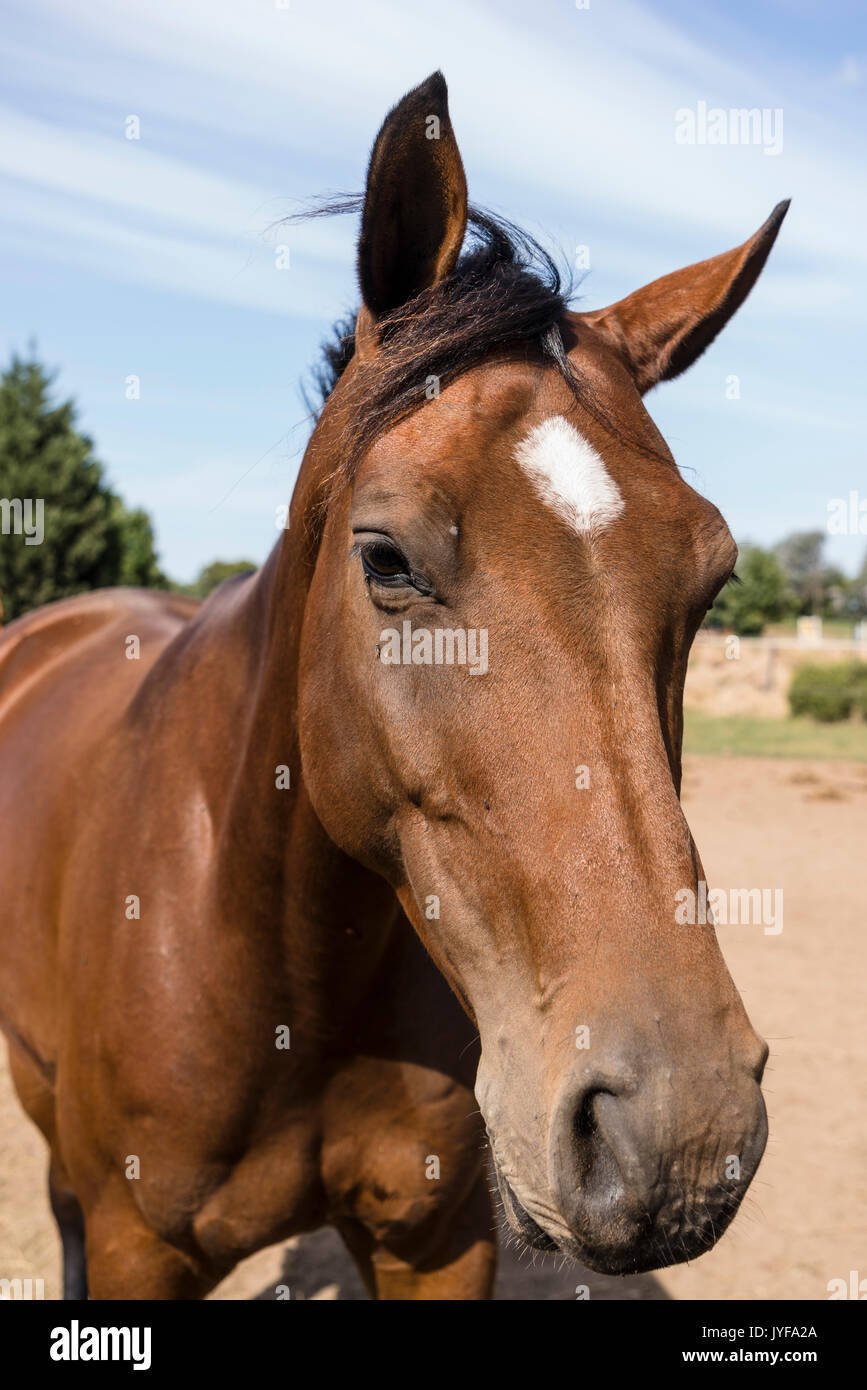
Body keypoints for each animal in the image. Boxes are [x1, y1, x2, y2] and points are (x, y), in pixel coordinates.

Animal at [0, 72, 788, 1300]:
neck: (282, 970)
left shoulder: (438, 1238)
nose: (678, 1133)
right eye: (385, 558)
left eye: (714, 577)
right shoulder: (141, 1253)